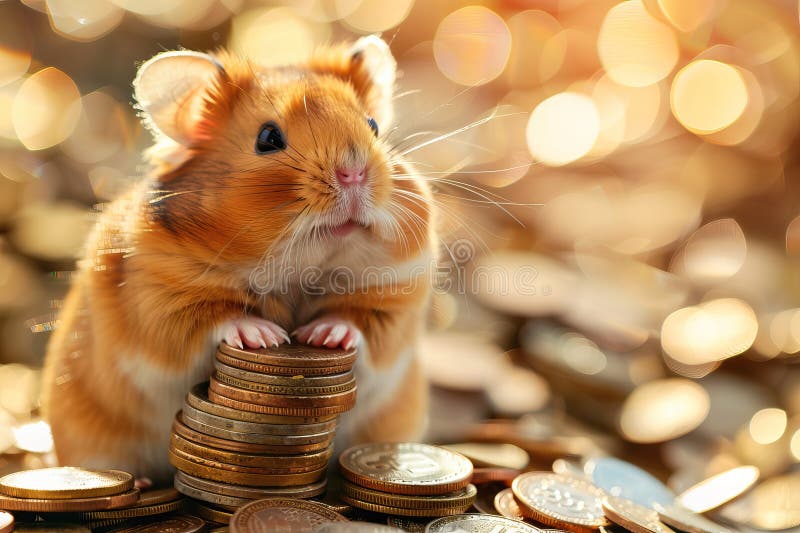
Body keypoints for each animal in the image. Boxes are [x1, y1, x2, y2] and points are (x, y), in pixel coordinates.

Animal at [41, 36, 437, 485]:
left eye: (372, 126)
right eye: (267, 138)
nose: (354, 174)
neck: (297, 265)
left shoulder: (397, 295)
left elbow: (362, 323)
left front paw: (322, 336)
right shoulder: (158, 301)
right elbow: (215, 316)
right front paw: (267, 336)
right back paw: (135, 482)